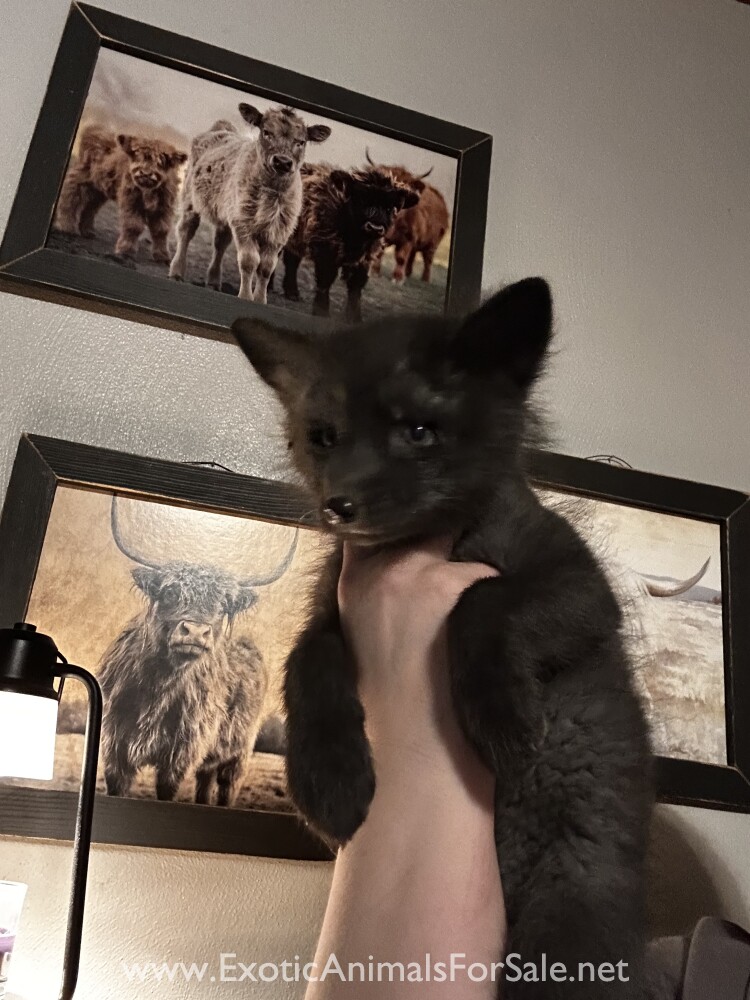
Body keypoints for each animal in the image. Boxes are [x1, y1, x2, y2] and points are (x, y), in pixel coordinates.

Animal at [233, 278, 654, 999]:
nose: (340, 506)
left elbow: (480, 602)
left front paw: (503, 718)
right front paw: (329, 779)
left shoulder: (580, 587)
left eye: (420, 431)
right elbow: (304, 663)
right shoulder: (331, 614)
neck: (438, 544)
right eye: (324, 437)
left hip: (565, 928)